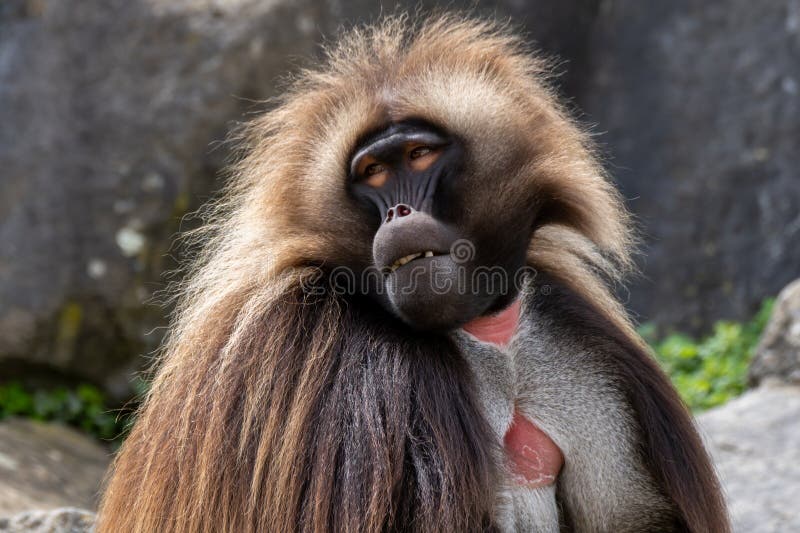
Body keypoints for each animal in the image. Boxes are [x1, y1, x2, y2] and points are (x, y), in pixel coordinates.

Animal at [96, 15, 729, 533]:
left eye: (420, 156)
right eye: (373, 172)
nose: (400, 213)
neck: (487, 337)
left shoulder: (581, 357)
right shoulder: (326, 362)